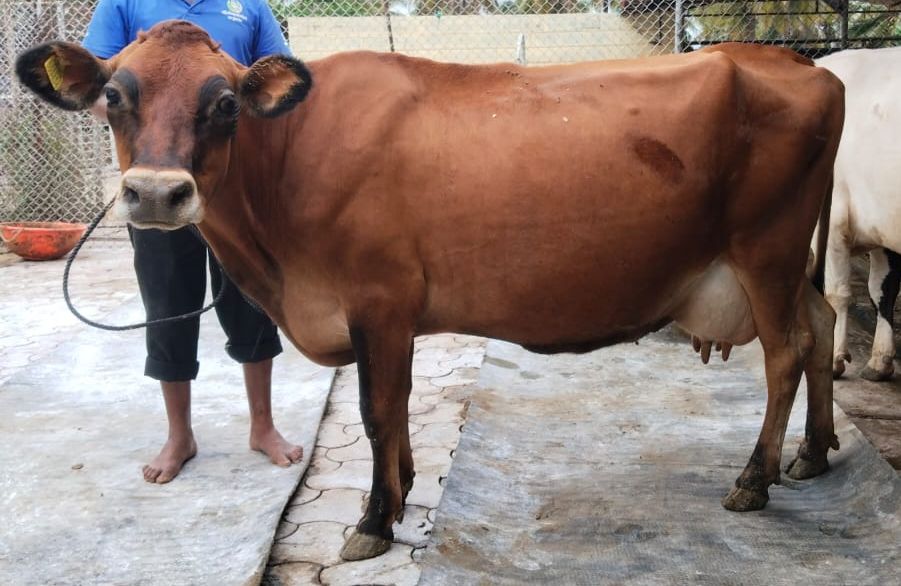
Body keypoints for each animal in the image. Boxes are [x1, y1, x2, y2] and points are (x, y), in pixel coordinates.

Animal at [16, 22, 844, 561]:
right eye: (115, 96)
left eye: (224, 103)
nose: (156, 193)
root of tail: (806, 66)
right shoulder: (391, 314)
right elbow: (397, 408)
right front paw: (400, 490)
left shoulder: (377, 297)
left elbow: (377, 412)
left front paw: (373, 522)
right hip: (782, 264)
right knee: (824, 322)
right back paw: (812, 452)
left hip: (765, 251)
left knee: (785, 352)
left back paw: (753, 479)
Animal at [816, 48, 901, 381]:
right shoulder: (881, 225)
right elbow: (882, 290)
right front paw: (880, 361)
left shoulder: (835, 218)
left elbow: (836, 293)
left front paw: (833, 358)